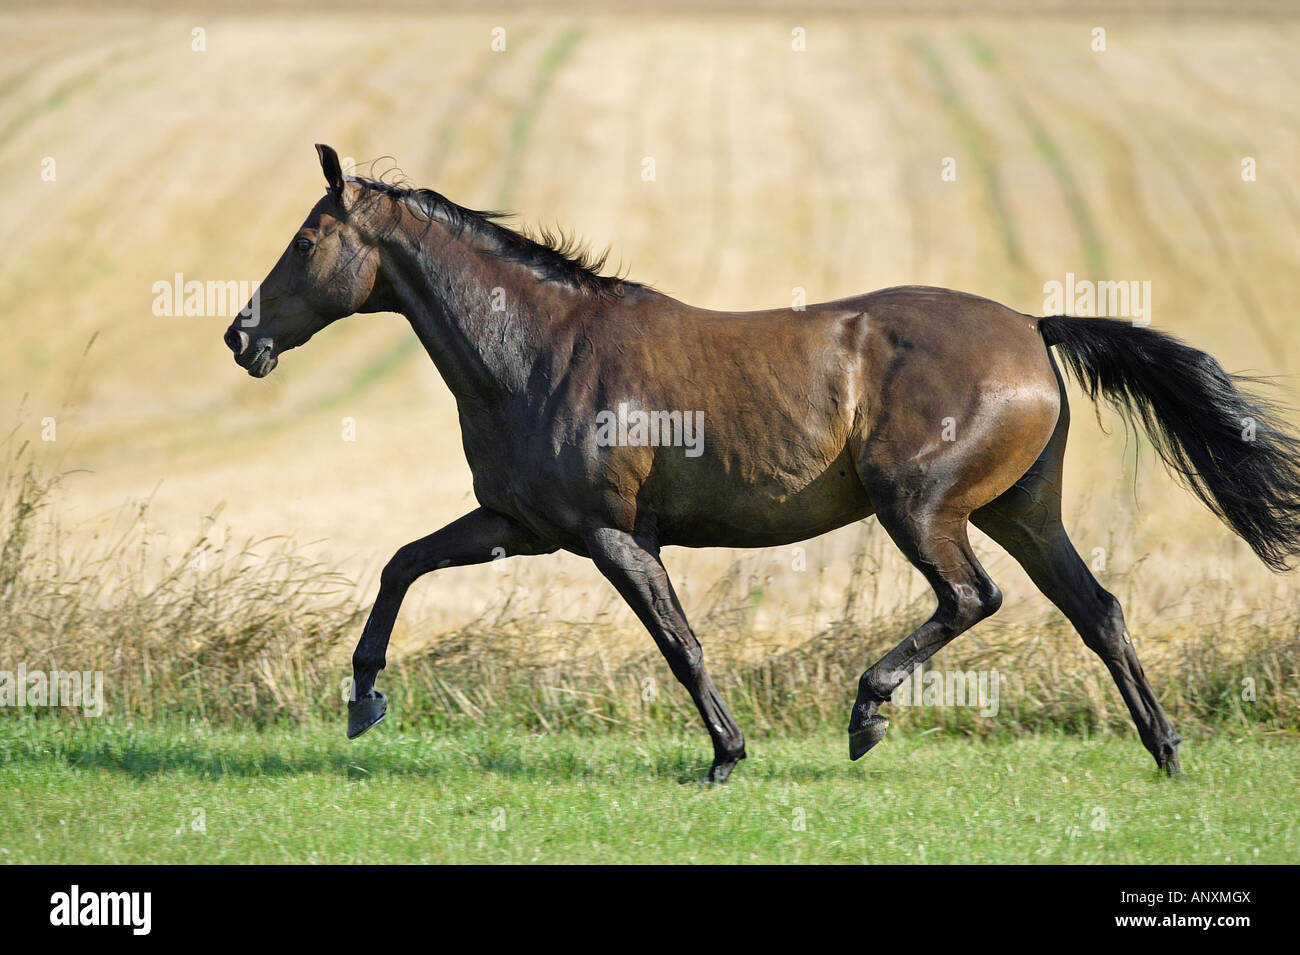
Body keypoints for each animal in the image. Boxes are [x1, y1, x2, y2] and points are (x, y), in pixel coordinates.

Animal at [224, 145, 1300, 781]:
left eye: (308, 238)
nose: (241, 336)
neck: (537, 350)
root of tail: (1033, 331)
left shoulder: (610, 535)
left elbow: (679, 641)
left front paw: (726, 756)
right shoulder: (518, 527)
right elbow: (403, 561)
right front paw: (364, 697)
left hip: (921, 506)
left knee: (973, 598)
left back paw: (867, 712)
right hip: (1022, 511)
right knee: (1098, 609)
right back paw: (1165, 750)